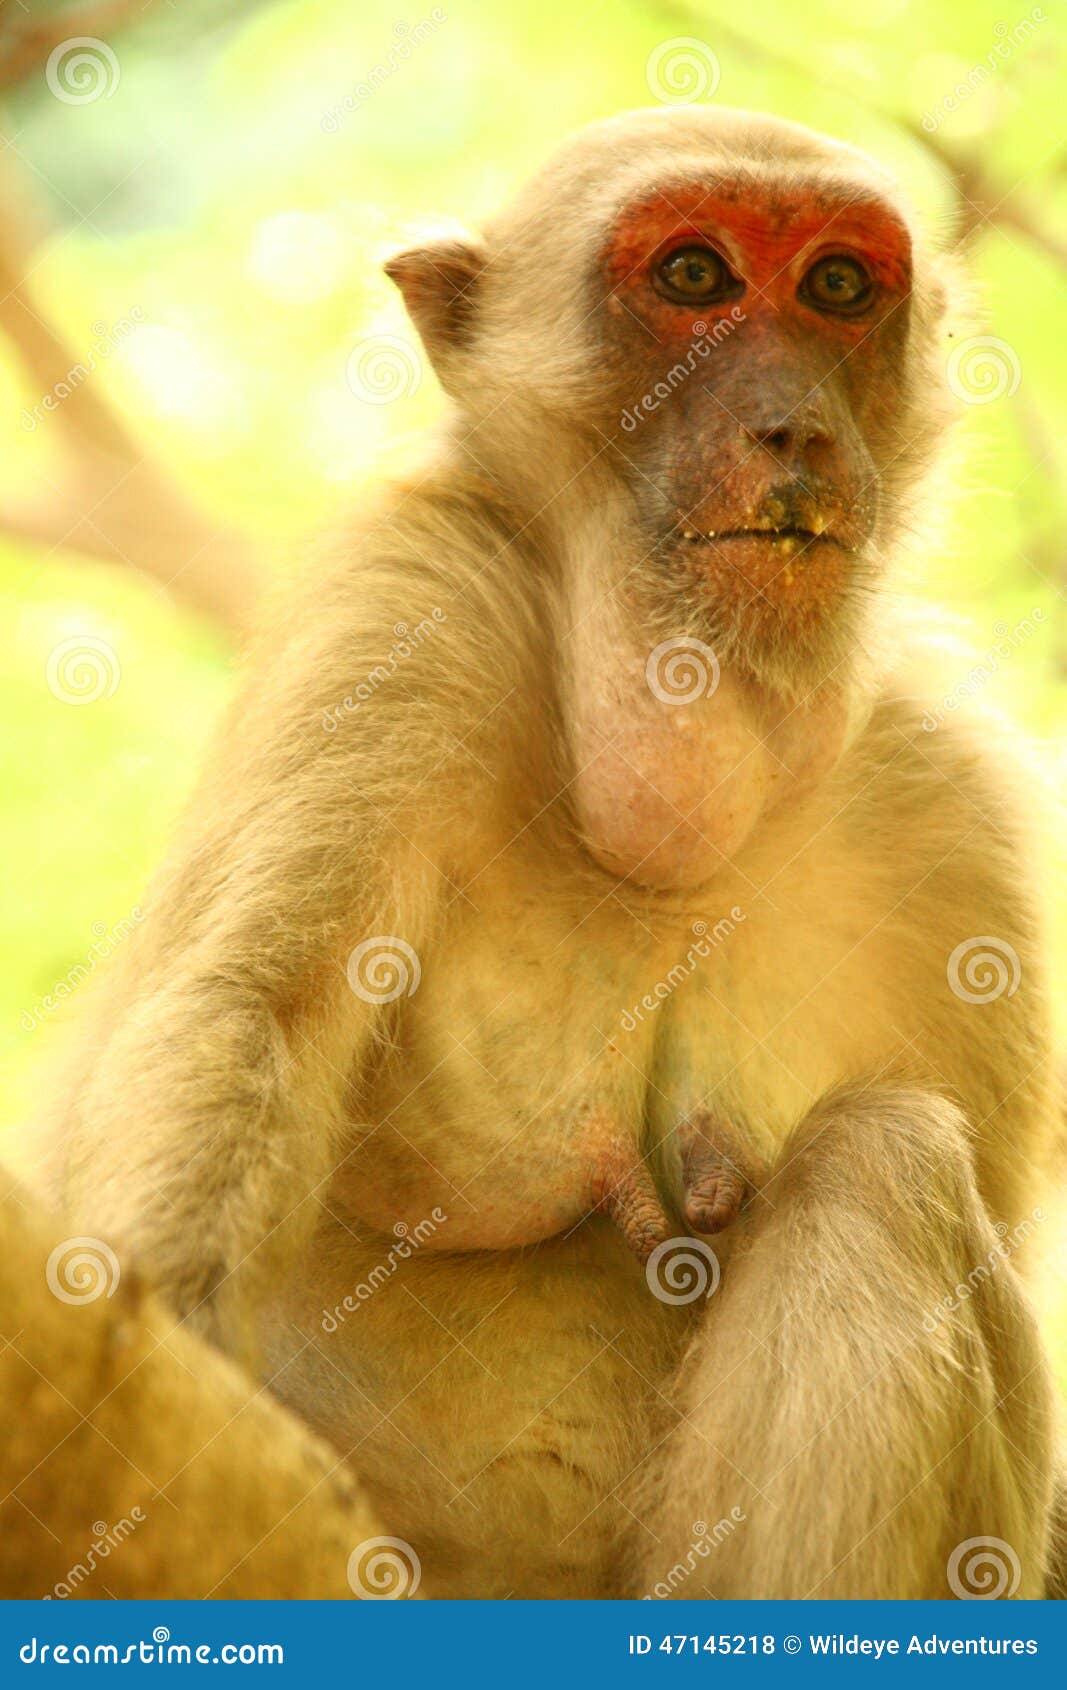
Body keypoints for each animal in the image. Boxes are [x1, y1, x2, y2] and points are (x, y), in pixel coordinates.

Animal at [45, 105, 1062, 1600]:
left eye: (835, 286)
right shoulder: (405, 604)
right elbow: (242, 1011)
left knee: (886, 1160)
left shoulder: (950, 803)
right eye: (691, 276)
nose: (794, 426)